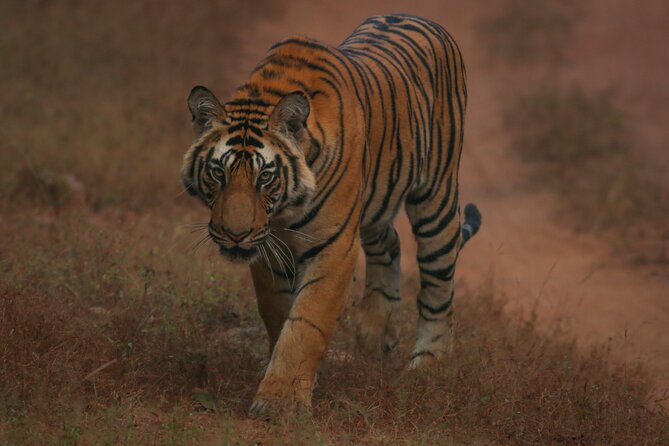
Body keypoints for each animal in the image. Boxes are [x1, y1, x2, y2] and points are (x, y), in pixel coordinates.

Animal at [180, 13, 481, 417]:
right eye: (218, 173)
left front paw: (280, 402)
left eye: (265, 176)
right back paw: (376, 331)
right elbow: (278, 313)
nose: (235, 234)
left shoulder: (335, 246)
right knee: (389, 241)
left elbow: (306, 322)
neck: (283, 211)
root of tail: (420, 17)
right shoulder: (271, 249)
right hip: (374, 201)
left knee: (439, 283)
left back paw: (427, 366)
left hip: (436, 197)